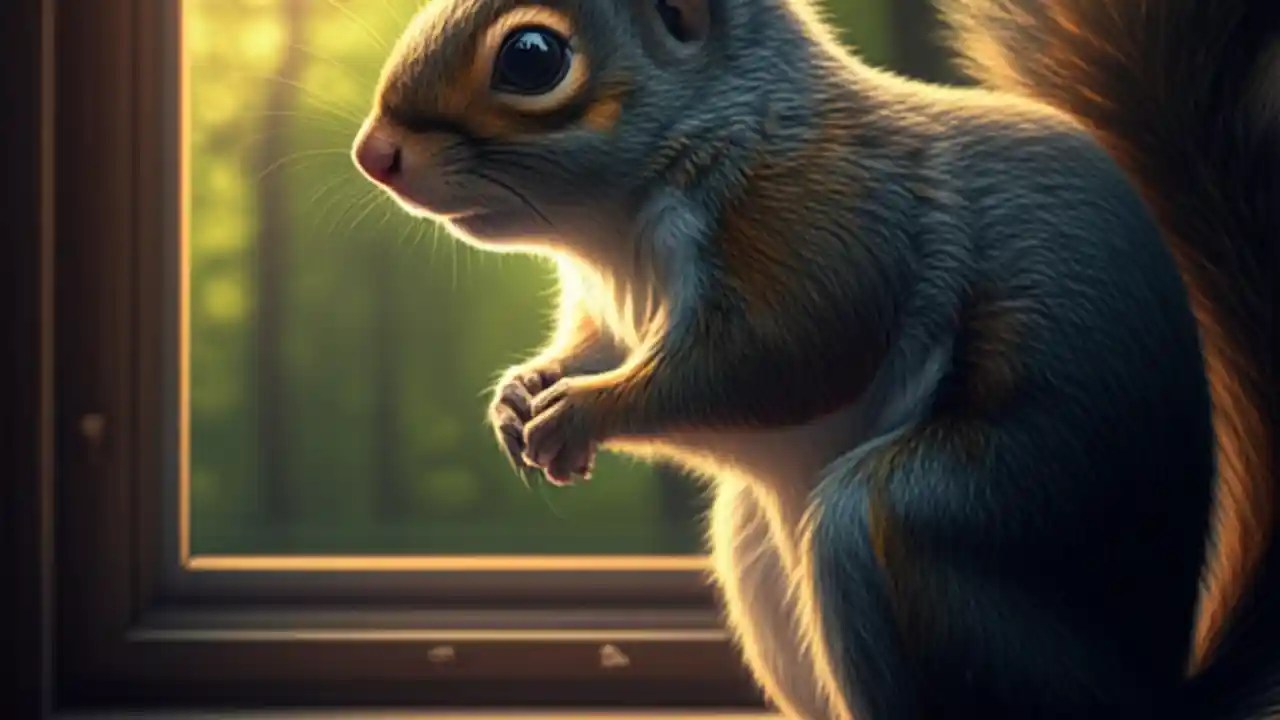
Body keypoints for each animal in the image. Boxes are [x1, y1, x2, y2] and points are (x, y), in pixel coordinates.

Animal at [351, 0, 1278, 717]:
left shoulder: (819, 220)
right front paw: (522, 394)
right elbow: (592, 348)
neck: (615, 237)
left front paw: (581, 411)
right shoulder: (604, 310)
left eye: (532, 56)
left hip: (935, 515)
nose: (373, 155)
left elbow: (778, 357)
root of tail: (1149, 691)